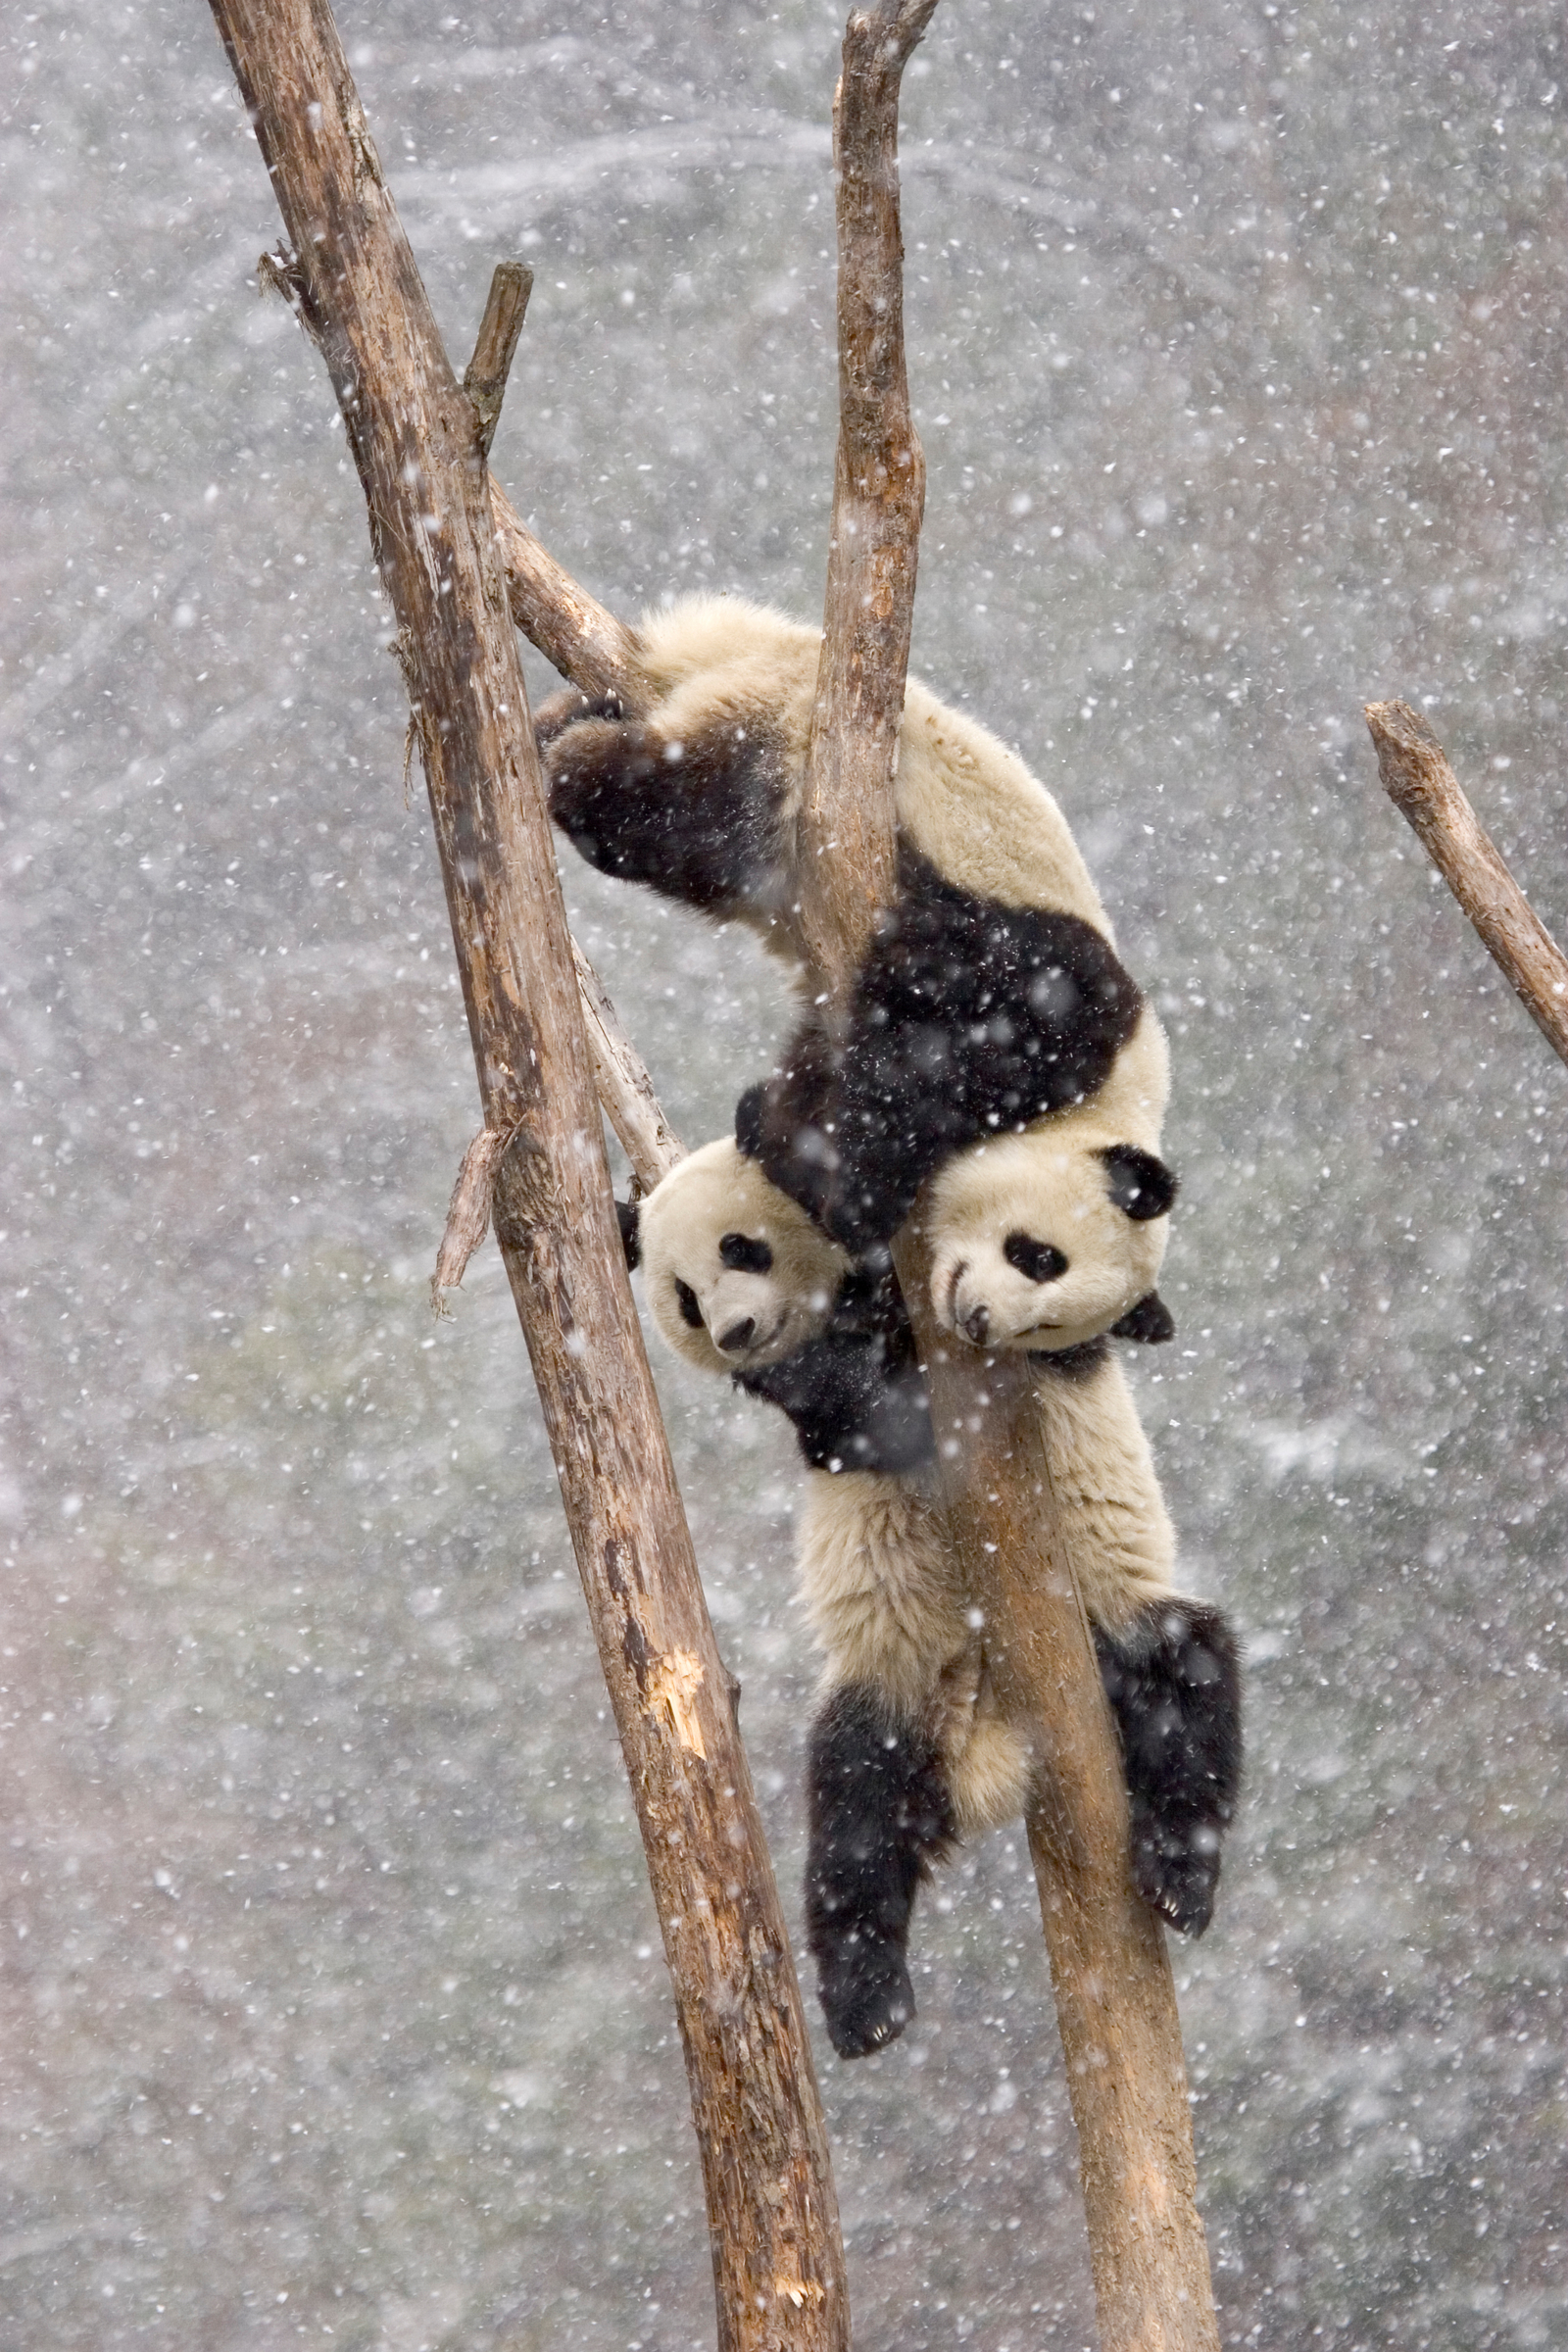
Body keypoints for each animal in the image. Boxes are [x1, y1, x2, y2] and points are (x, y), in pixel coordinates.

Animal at [538, 594, 1178, 1346]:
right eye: (1040, 1257)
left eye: (1043, 1328)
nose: (980, 1323)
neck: (1106, 1103)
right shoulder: (1045, 989)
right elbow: (930, 1051)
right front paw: (848, 1189)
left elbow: (831, 1062)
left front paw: (779, 1132)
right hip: (782, 750)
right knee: (680, 810)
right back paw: (571, 756)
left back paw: (567, 721)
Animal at [627, 1141, 1242, 2060]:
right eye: (685, 1302)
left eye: (742, 1249)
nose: (738, 1333)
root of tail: (986, 1746)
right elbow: (856, 1415)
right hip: (897, 1685)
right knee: (855, 1813)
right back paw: (867, 2005)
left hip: (1117, 1622)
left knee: (1188, 1676)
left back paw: (1179, 1877)